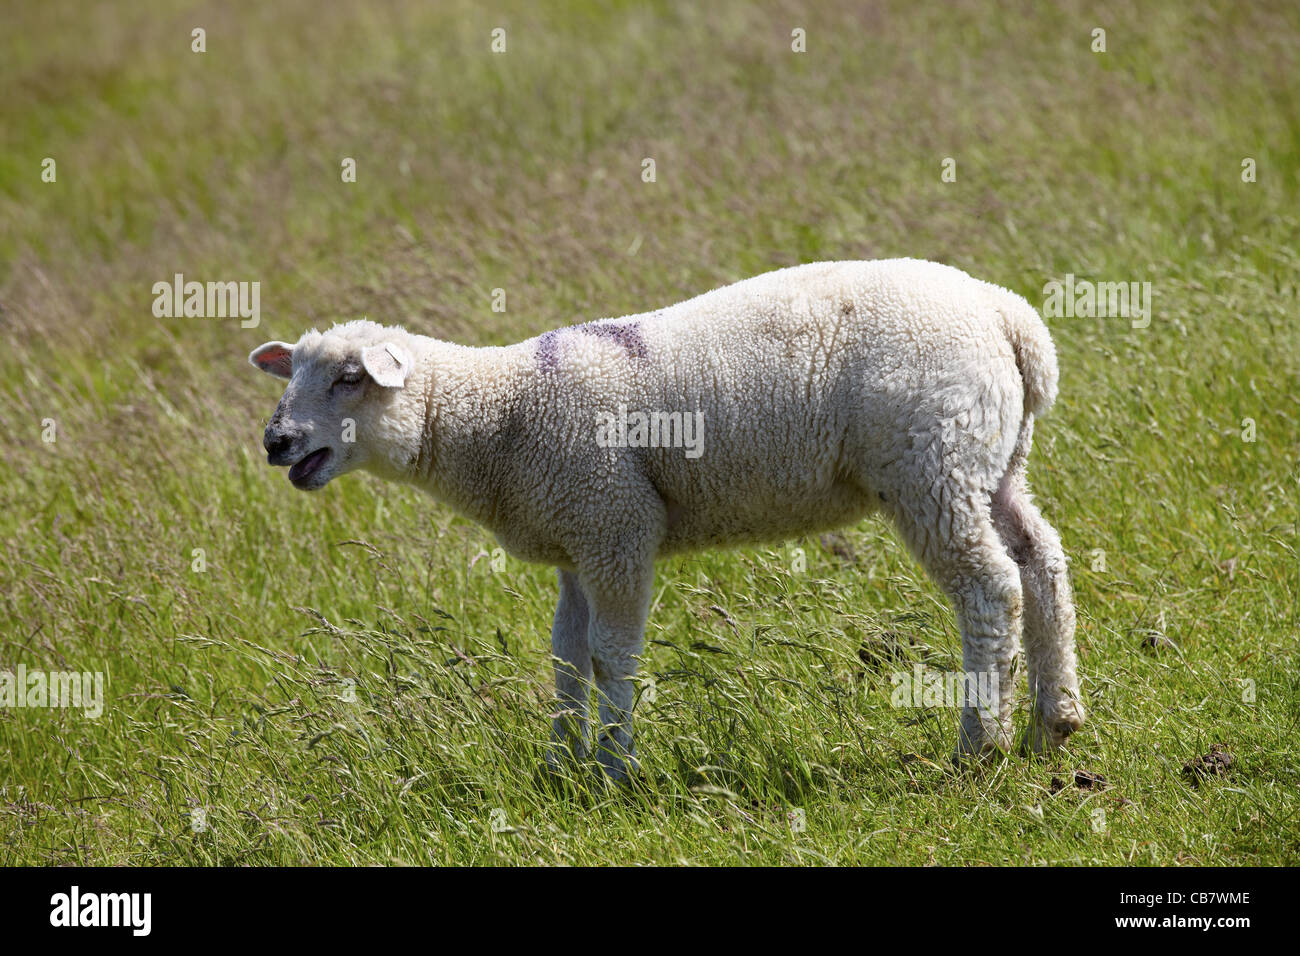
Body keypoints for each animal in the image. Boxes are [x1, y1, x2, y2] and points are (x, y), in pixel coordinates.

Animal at [249, 258, 1085, 780]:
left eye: (350, 379)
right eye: (293, 373)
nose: (275, 441)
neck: (500, 415)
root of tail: (1010, 321)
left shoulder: (615, 526)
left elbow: (611, 656)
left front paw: (616, 768)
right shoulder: (576, 540)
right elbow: (566, 659)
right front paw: (561, 765)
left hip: (931, 466)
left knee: (990, 590)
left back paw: (980, 742)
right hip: (990, 462)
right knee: (1042, 562)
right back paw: (1054, 723)